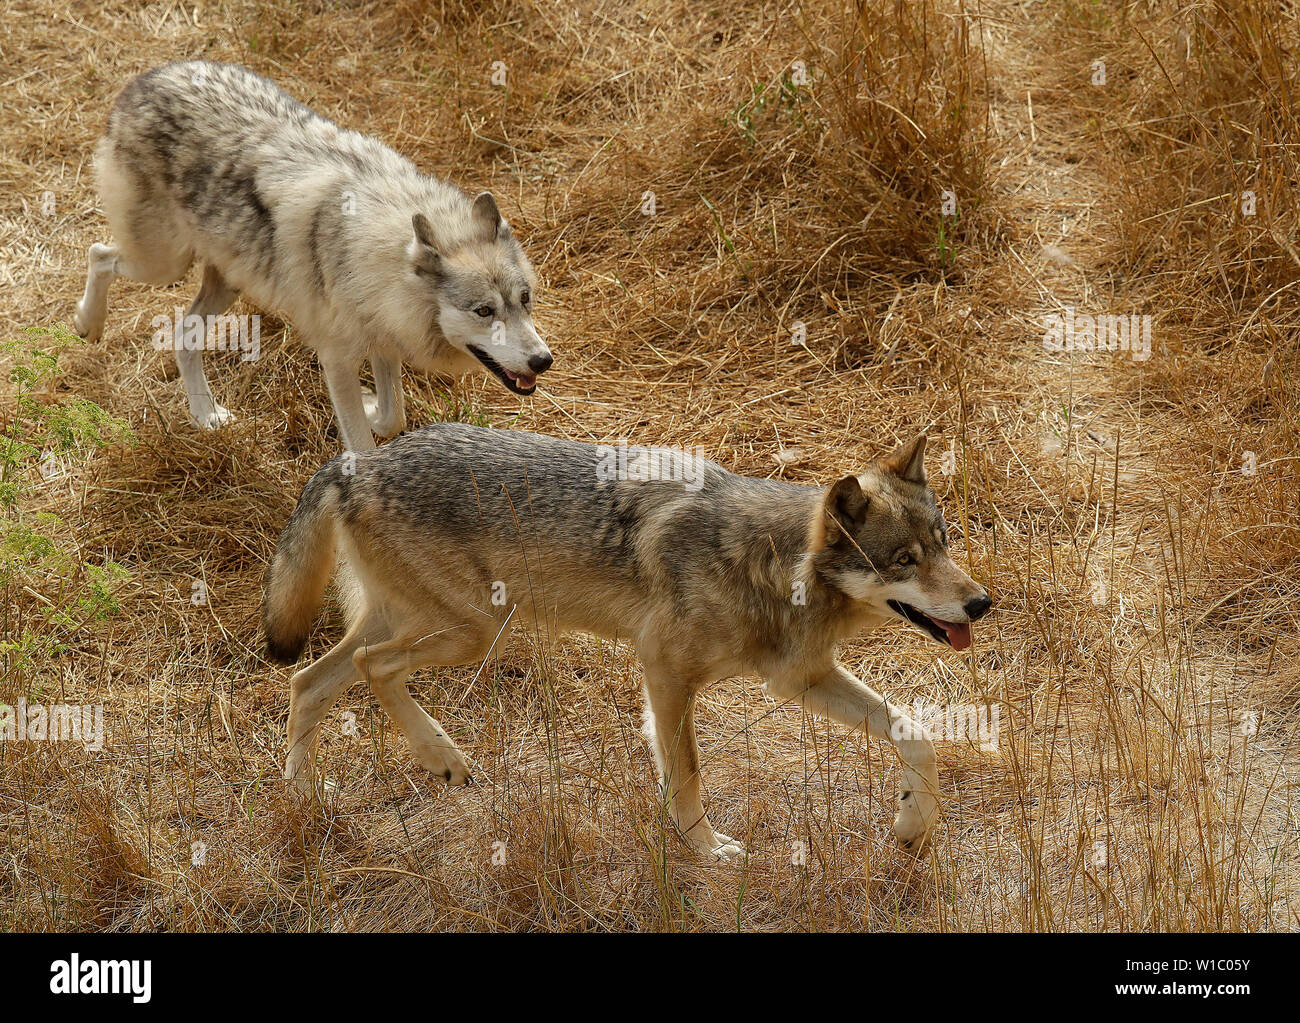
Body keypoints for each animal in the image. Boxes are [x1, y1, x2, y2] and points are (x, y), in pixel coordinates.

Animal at [73, 61, 551, 451]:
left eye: (525, 300)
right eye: (484, 311)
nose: (543, 361)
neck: (374, 251)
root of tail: (143, 80)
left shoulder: (382, 338)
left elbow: (393, 416)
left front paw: (371, 405)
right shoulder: (337, 357)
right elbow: (363, 445)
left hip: (224, 283)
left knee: (181, 334)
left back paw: (205, 415)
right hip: (162, 265)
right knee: (100, 253)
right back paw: (87, 325)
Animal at [262, 424, 992, 859]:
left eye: (943, 543)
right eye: (903, 560)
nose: (982, 603)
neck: (769, 564)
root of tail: (354, 462)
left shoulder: (801, 678)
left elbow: (918, 733)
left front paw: (913, 823)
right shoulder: (665, 671)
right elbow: (689, 771)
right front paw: (706, 849)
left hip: (434, 625)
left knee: (309, 679)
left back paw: (310, 796)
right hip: (473, 631)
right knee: (367, 666)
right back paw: (421, 760)